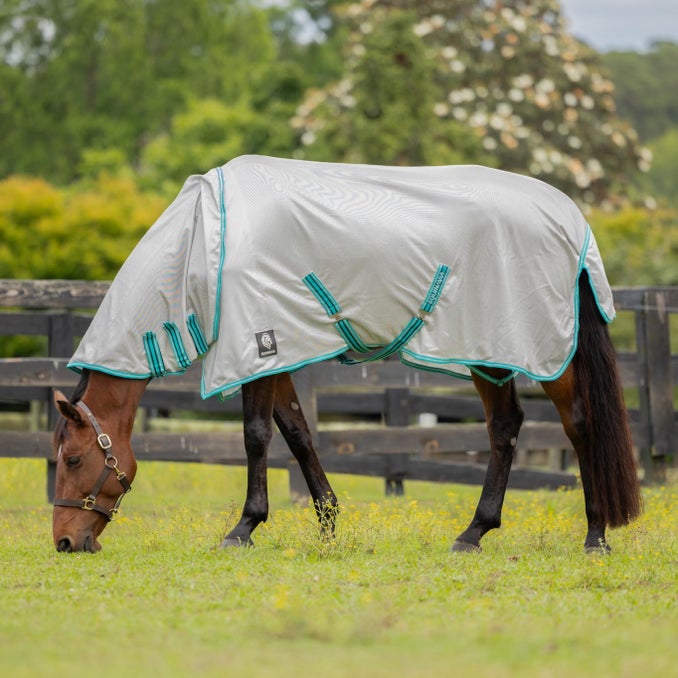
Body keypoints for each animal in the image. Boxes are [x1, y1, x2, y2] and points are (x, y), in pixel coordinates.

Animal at [51, 155, 642, 554]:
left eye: (74, 459)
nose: (64, 541)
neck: (205, 243)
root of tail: (572, 221)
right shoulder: (277, 353)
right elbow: (297, 432)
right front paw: (329, 523)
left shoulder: (255, 344)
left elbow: (256, 435)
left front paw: (243, 528)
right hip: (492, 354)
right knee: (508, 427)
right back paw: (476, 532)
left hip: (535, 352)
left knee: (578, 423)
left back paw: (593, 535)